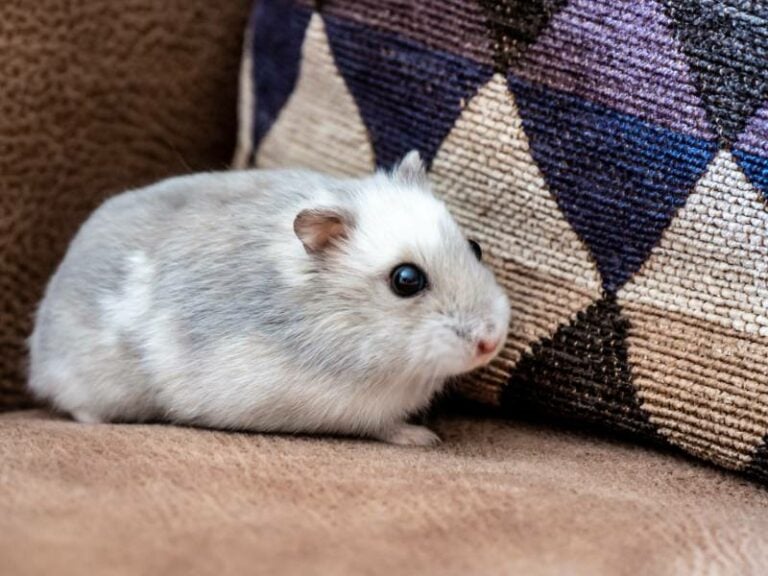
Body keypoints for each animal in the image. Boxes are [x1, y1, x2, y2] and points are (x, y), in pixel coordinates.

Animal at [28, 151, 510, 446]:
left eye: (475, 247)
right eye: (406, 279)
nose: (491, 343)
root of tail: (38, 355)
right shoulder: (343, 406)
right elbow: (384, 425)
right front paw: (423, 438)